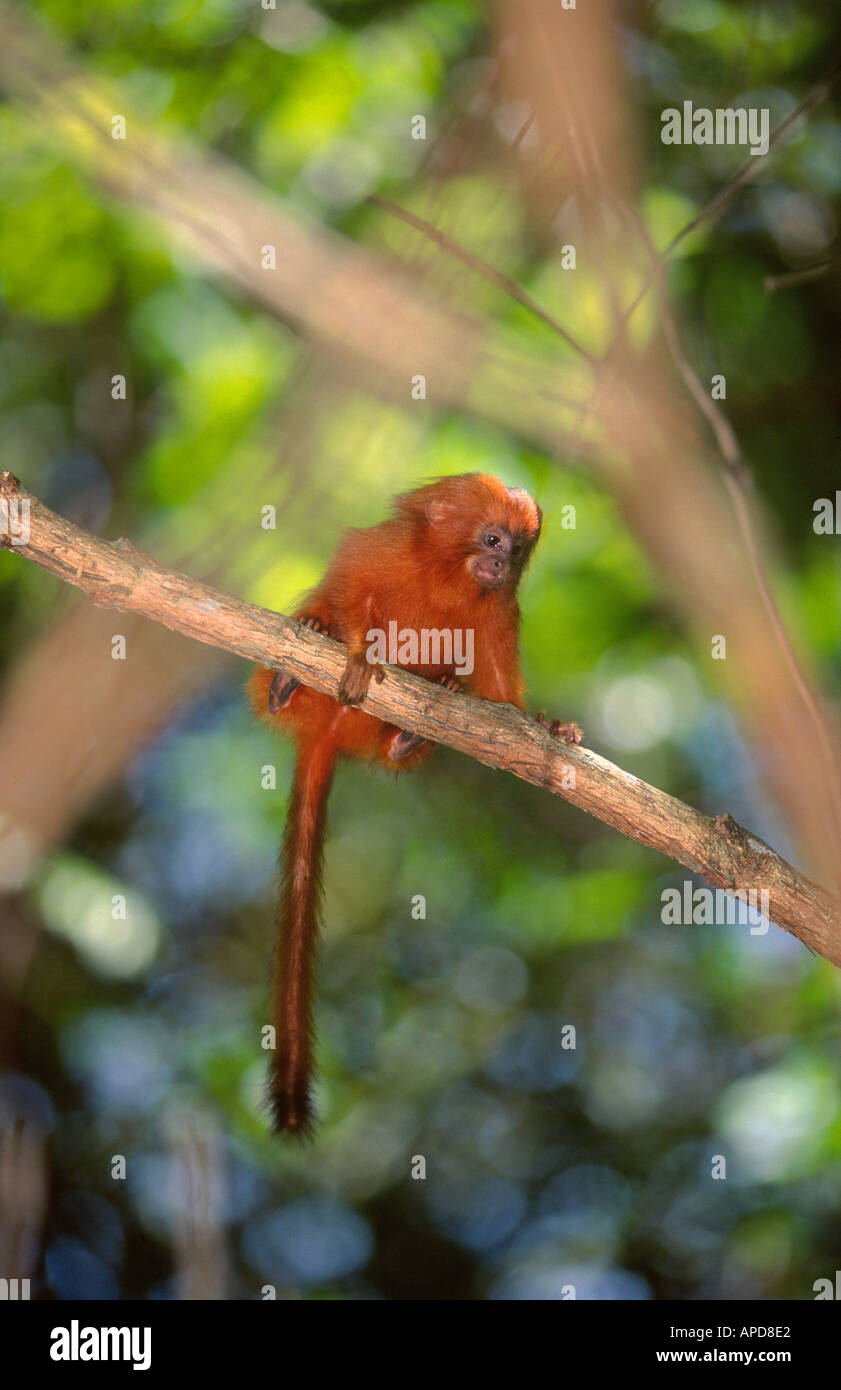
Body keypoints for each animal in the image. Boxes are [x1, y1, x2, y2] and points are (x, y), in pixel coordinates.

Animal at [249, 473, 581, 1136]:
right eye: (492, 539)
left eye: (516, 552)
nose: (501, 563)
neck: (446, 575)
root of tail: (327, 735)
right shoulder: (380, 553)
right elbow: (351, 586)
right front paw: (355, 651)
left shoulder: (498, 612)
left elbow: (501, 696)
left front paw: (548, 727)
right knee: (308, 632)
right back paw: (291, 678)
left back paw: (411, 733)